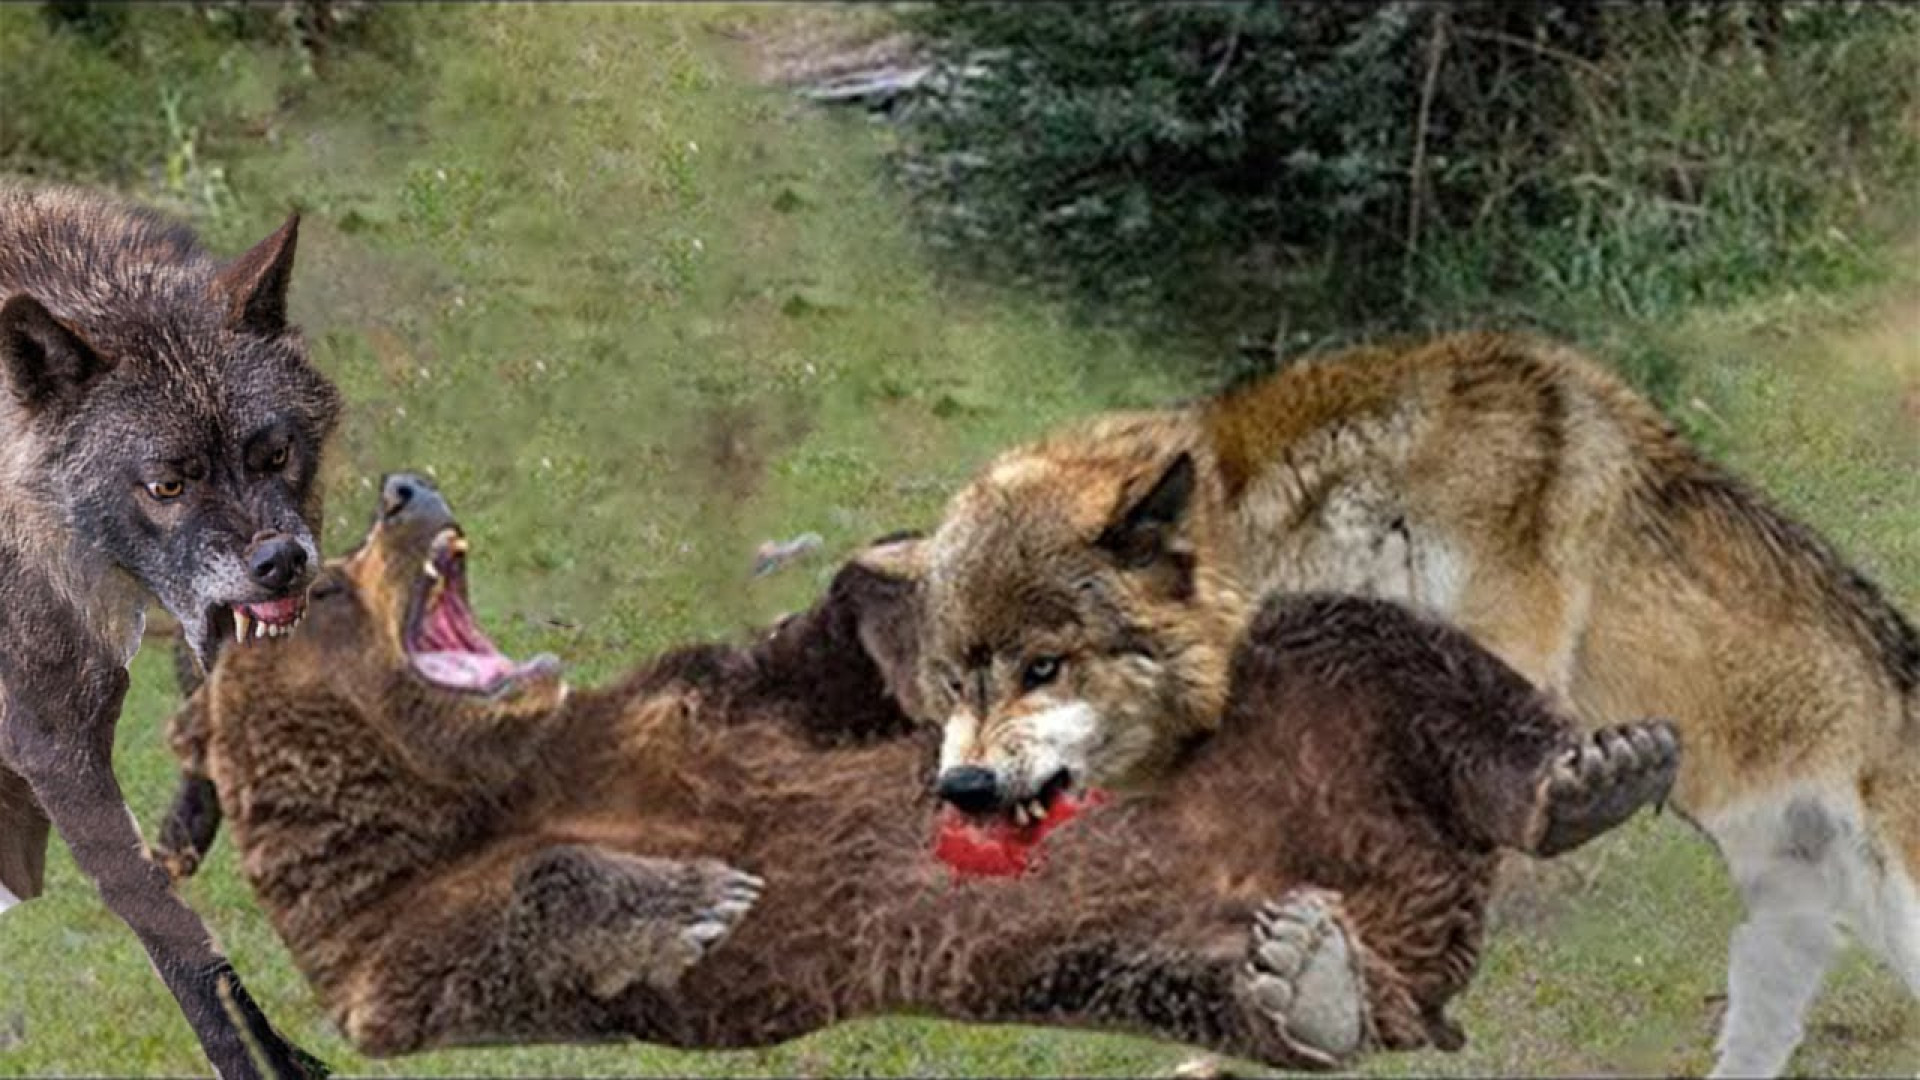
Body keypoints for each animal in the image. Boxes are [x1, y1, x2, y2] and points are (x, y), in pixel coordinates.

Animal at [0, 183, 341, 1078]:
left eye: (274, 454)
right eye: (165, 484)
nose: (281, 562)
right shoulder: (52, 745)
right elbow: (173, 933)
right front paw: (254, 1056)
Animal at [153, 474, 1673, 1064]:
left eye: (341, 537)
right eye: (316, 579)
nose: (406, 489)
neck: (481, 779)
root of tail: (1417, 899)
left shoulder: (689, 711)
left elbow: (815, 657)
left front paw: (901, 585)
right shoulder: (379, 938)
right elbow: (466, 955)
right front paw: (694, 900)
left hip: (1290, 693)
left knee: (1384, 644)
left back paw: (1595, 765)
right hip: (1104, 945)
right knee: (1217, 971)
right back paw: (1309, 977)